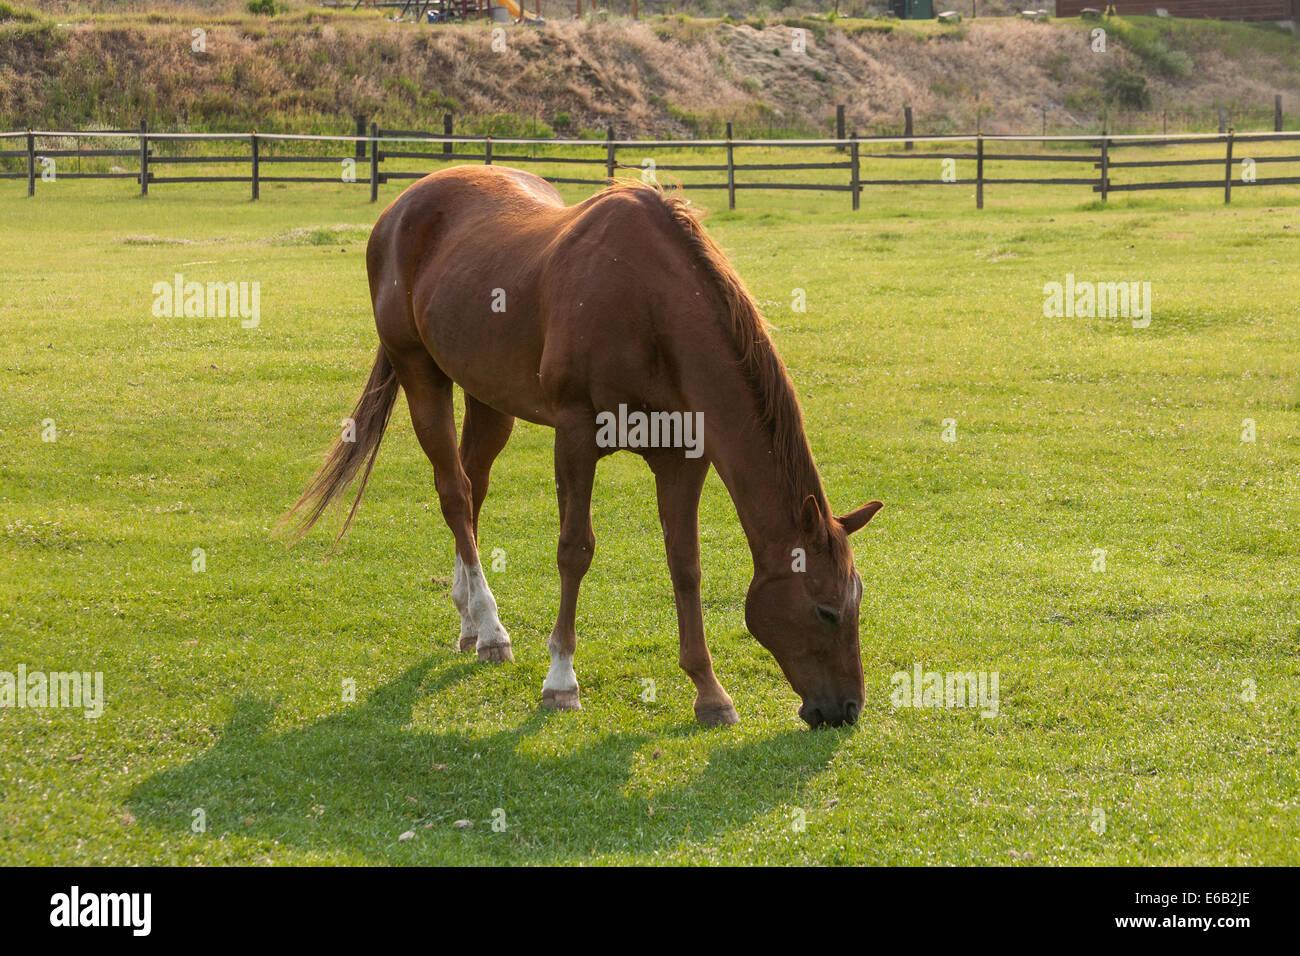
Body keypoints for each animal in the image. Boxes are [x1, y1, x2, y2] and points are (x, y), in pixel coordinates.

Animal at [284, 165, 882, 728]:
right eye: (826, 610)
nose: (847, 708)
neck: (647, 304)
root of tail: (401, 207)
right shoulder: (575, 435)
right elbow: (575, 550)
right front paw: (560, 681)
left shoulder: (682, 457)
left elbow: (685, 563)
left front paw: (709, 692)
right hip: (419, 373)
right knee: (454, 493)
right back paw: (492, 629)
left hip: (489, 398)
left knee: (473, 492)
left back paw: (470, 623)